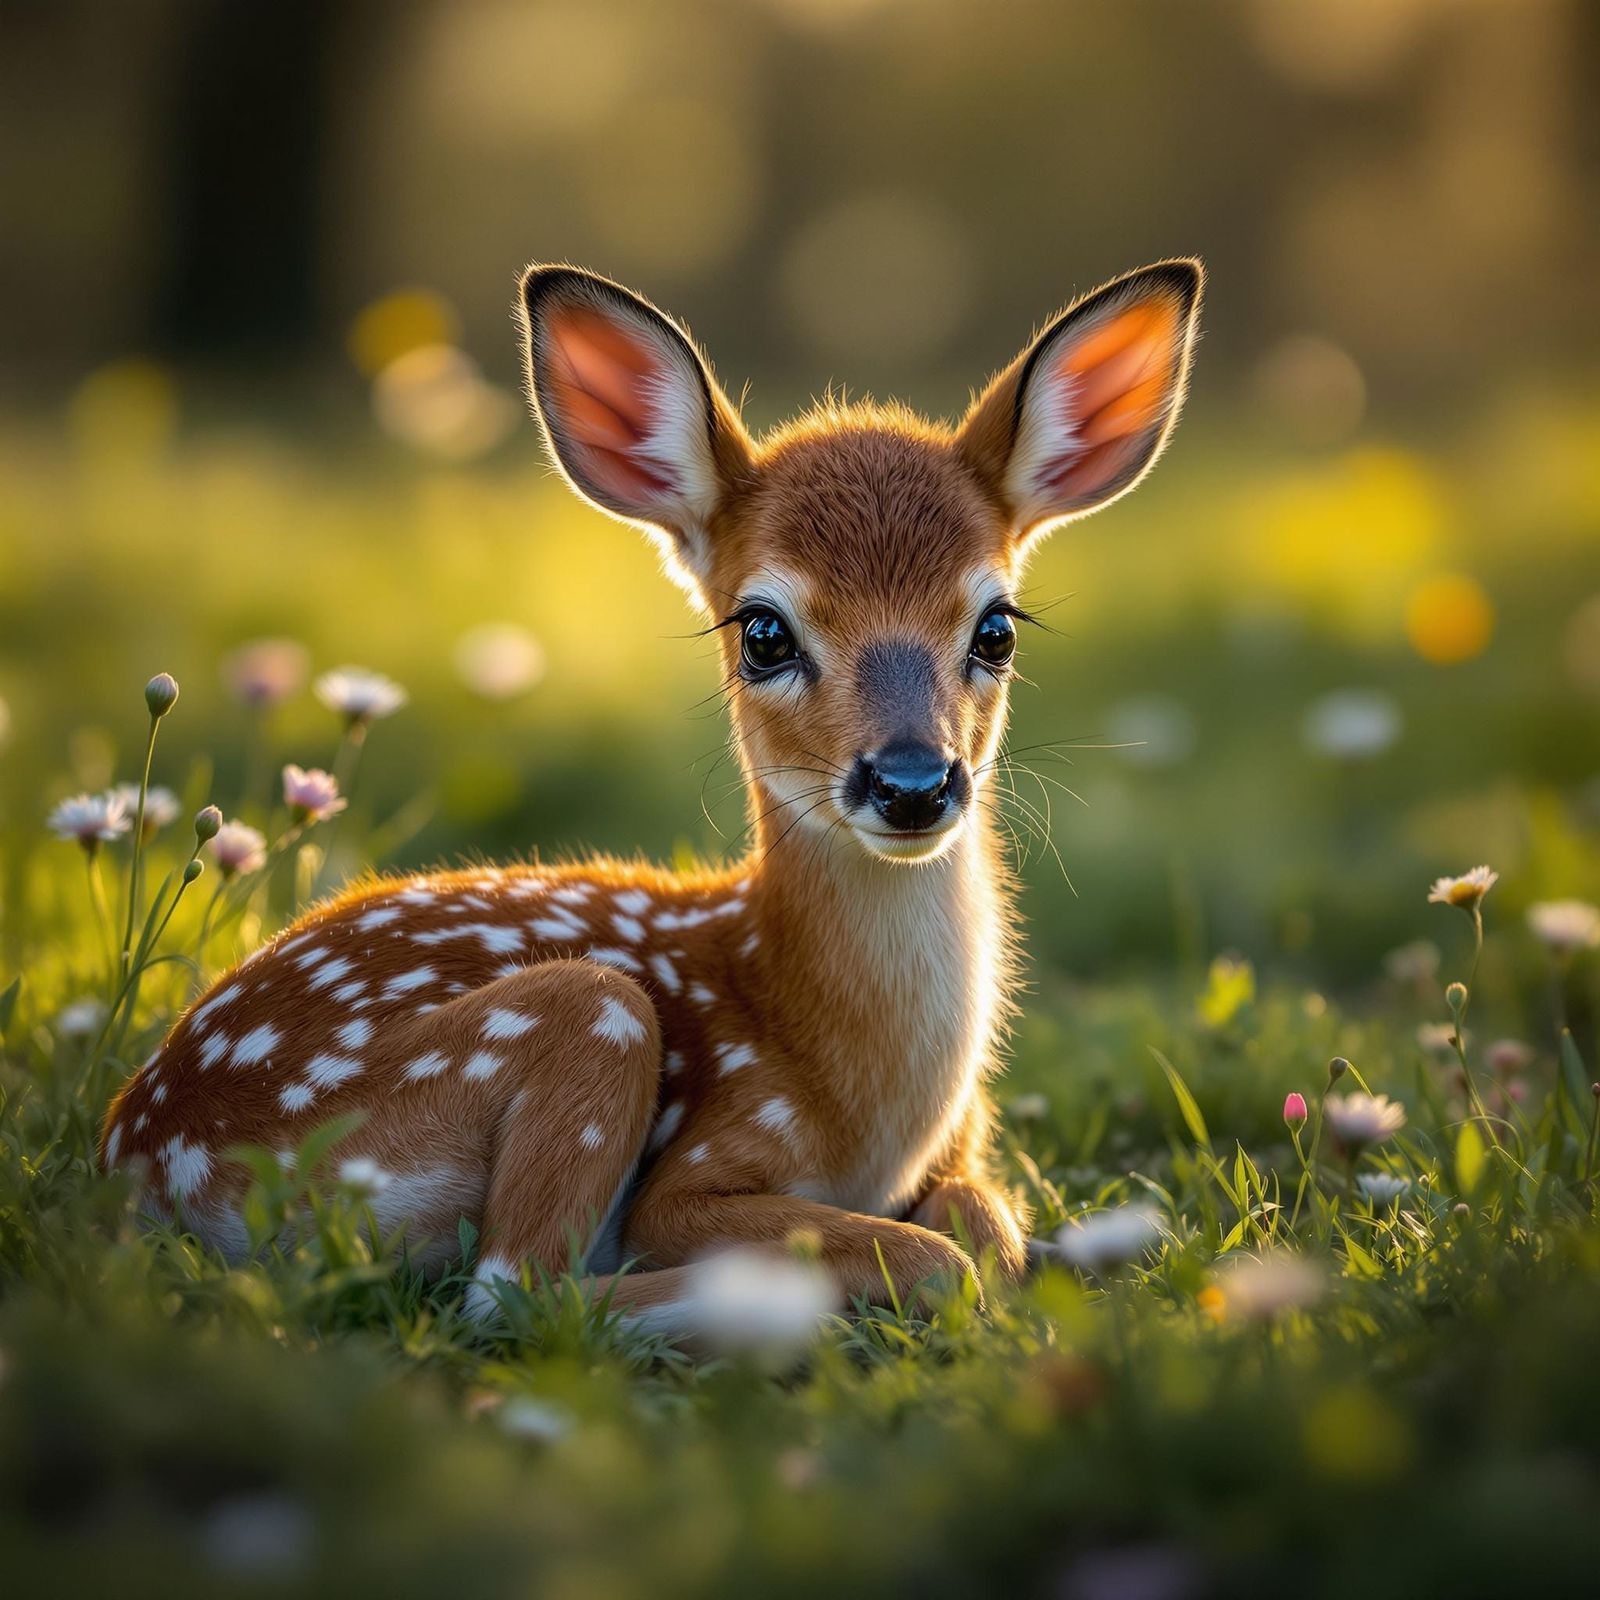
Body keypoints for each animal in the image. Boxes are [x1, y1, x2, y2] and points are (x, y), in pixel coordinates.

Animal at [101, 257, 1203, 1335]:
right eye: (762, 631)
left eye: (997, 627)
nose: (911, 783)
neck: (871, 1106)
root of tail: (138, 1160)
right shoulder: (704, 1164)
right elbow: (941, 1258)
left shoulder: (967, 1148)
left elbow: (989, 1223)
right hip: (582, 1017)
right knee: (513, 1290)